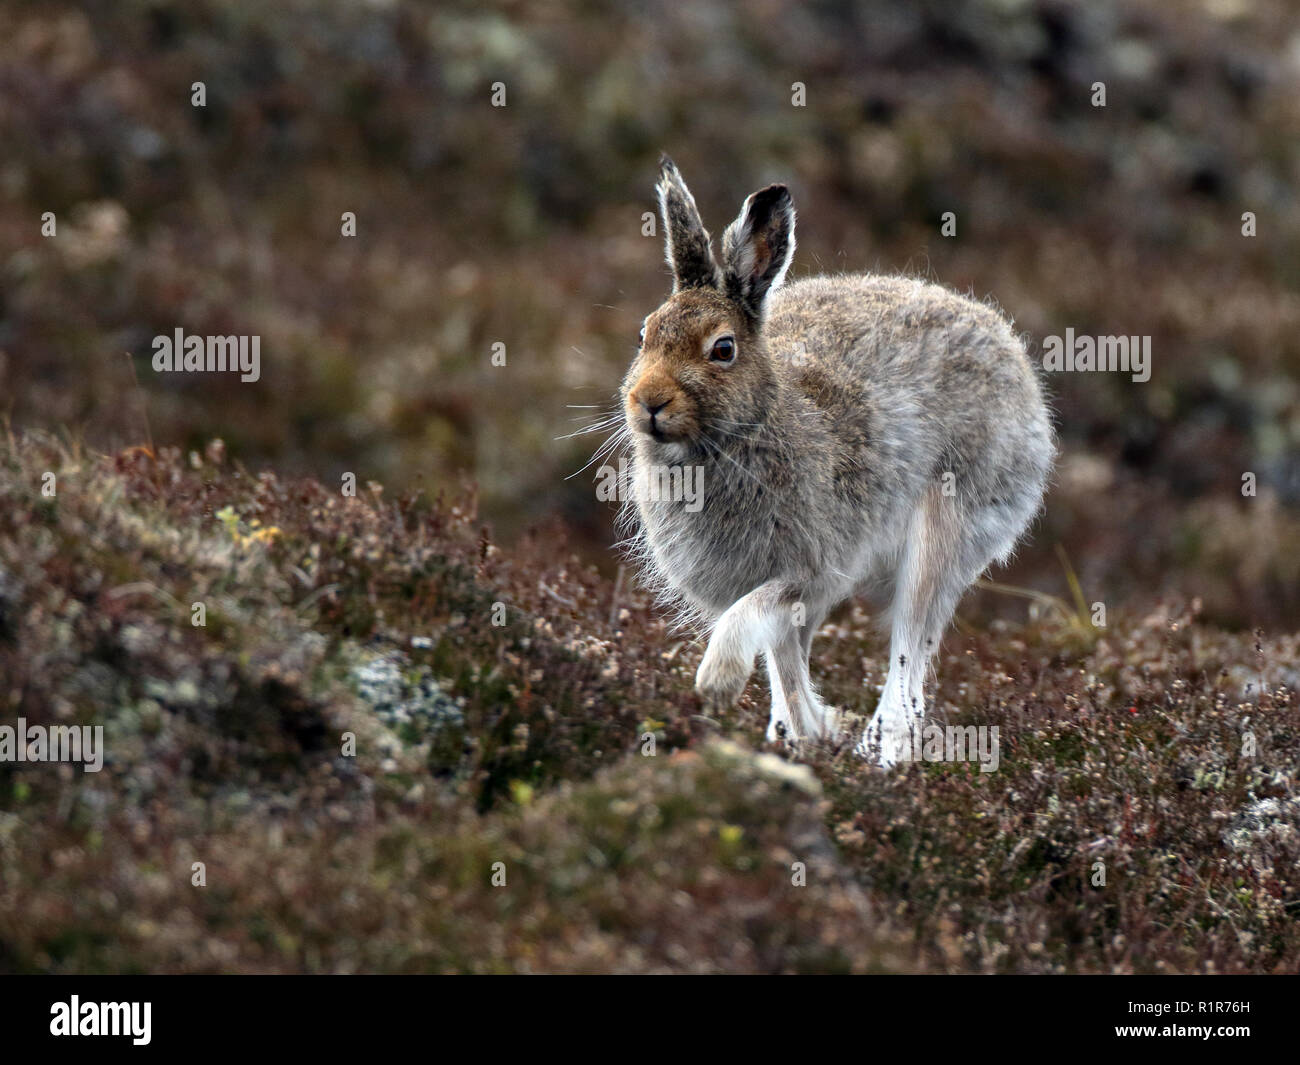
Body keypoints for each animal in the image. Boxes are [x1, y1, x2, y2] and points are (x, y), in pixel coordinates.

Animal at [618, 156, 1055, 766]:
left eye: (723, 349)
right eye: (644, 334)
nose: (649, 401)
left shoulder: (811, 569)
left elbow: (757, 618)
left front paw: (720, 681)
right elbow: (783, 658)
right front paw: (806, 735)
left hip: (949, 529)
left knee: (910, 651)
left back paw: (886, 755)